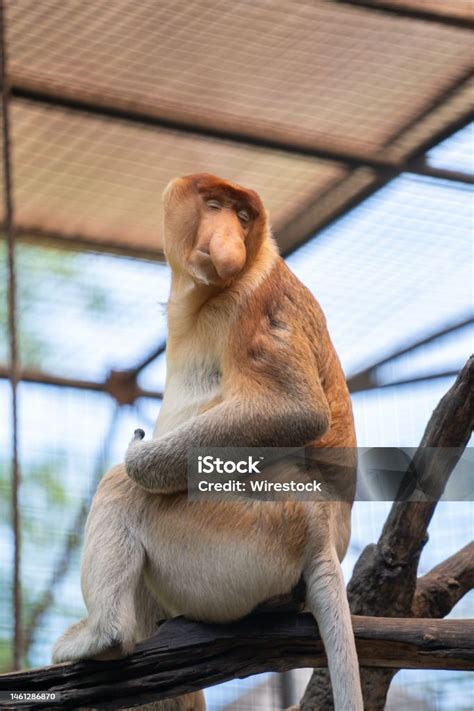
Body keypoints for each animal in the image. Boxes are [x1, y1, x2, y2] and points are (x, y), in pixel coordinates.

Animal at [52, 173, 363, 711]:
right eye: (215, 204)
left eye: (243, 216)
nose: (229, 242)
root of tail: (322, 535)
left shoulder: (254, 305)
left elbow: (296, 410)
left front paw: (140, 455)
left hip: (244, 536)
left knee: (121, 490)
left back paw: (101, 638)